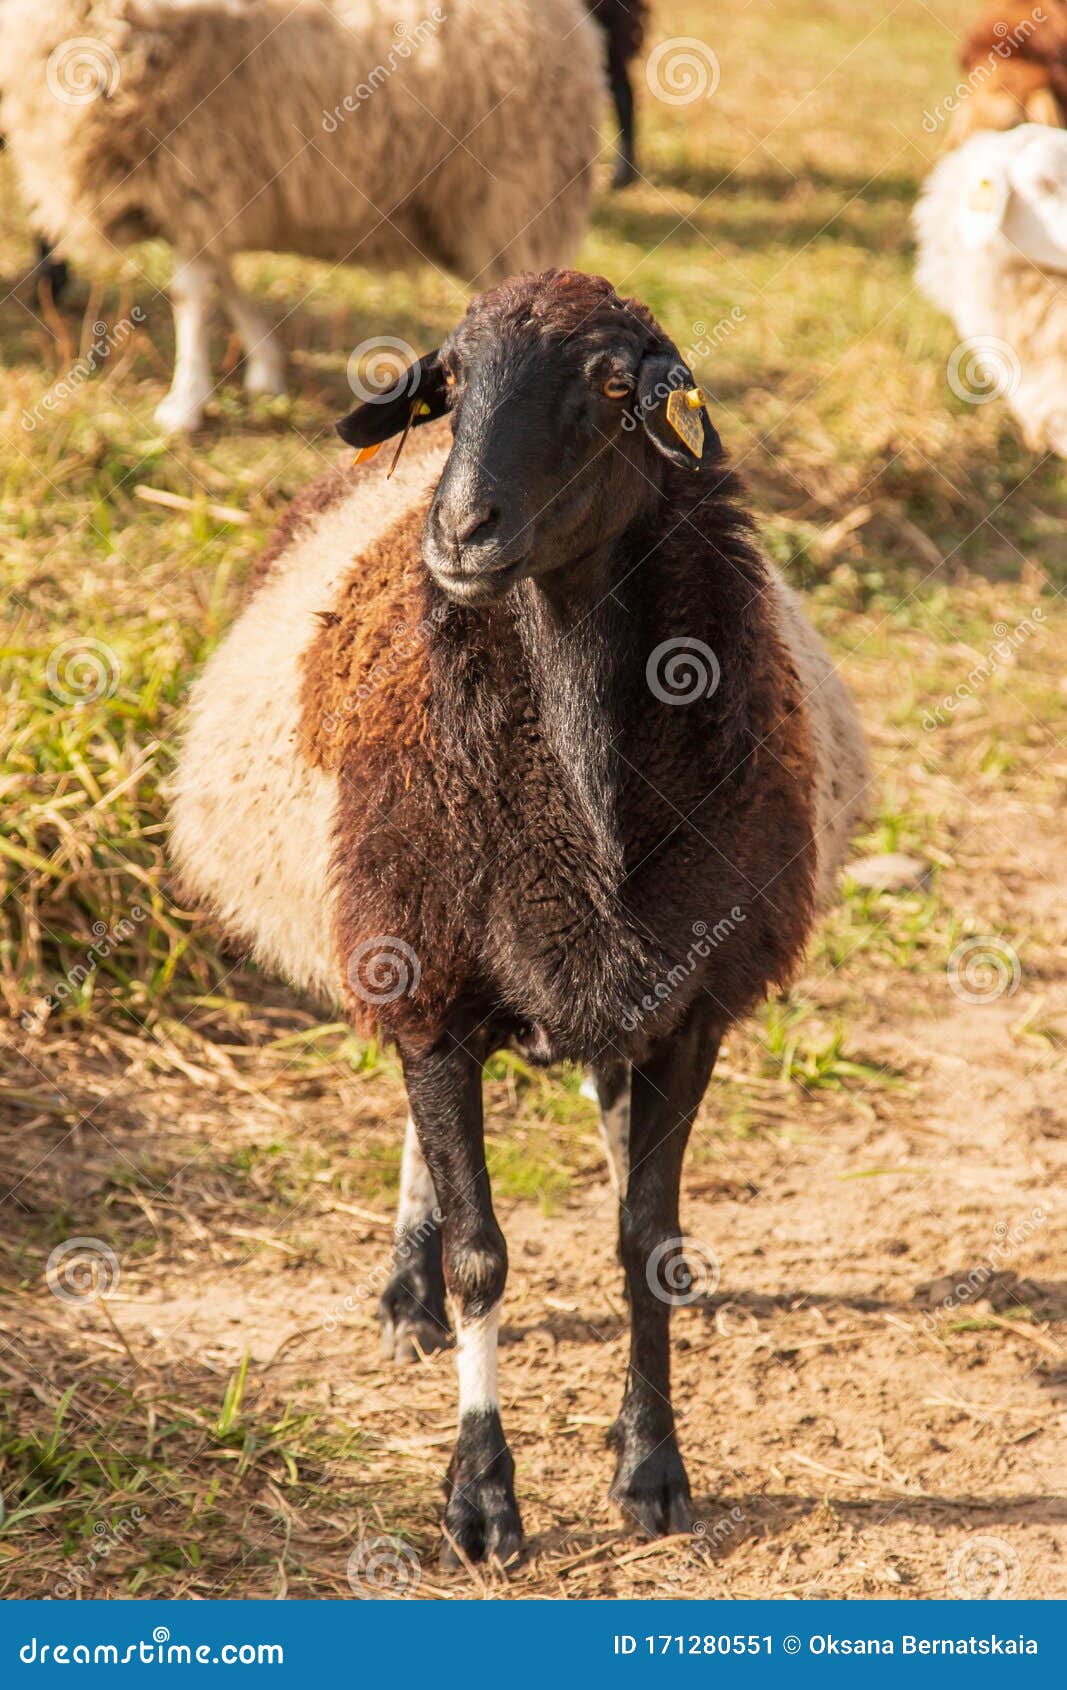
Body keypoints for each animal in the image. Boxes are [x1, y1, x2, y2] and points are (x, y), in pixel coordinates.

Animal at [0, 0, 604, 433]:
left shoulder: (195, 178)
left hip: (514, 192)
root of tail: (578, 28)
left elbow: (191, 295)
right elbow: (223, 280)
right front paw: (265, 367)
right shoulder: (211, 198)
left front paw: (184, 403)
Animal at [170, 268, 868, 1564]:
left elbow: (643, 1241)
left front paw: (651, 1468)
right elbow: (482, 1257)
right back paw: (406, 1291)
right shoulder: (429, 990)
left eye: (613, 382)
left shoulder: (689, 1011)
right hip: (395, 940)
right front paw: (481, 1496)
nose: (458, 532)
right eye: (449, 379)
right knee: (429, 1157)